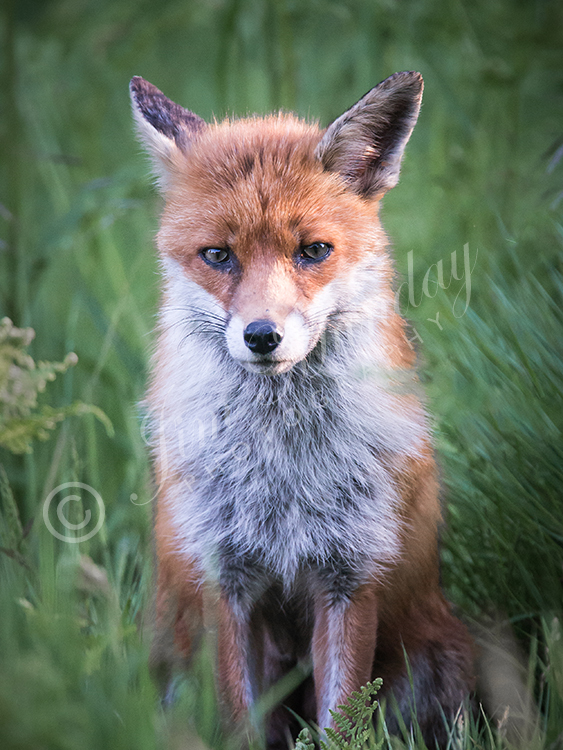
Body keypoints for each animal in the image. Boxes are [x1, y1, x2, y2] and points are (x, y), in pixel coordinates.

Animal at [130, 71, 475, 748]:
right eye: (218, 255)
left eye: (313, 250)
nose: (262, 336)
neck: (281, 464)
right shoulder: (226, 579)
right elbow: (239, 720)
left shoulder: (351, 578)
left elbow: (342, 721)